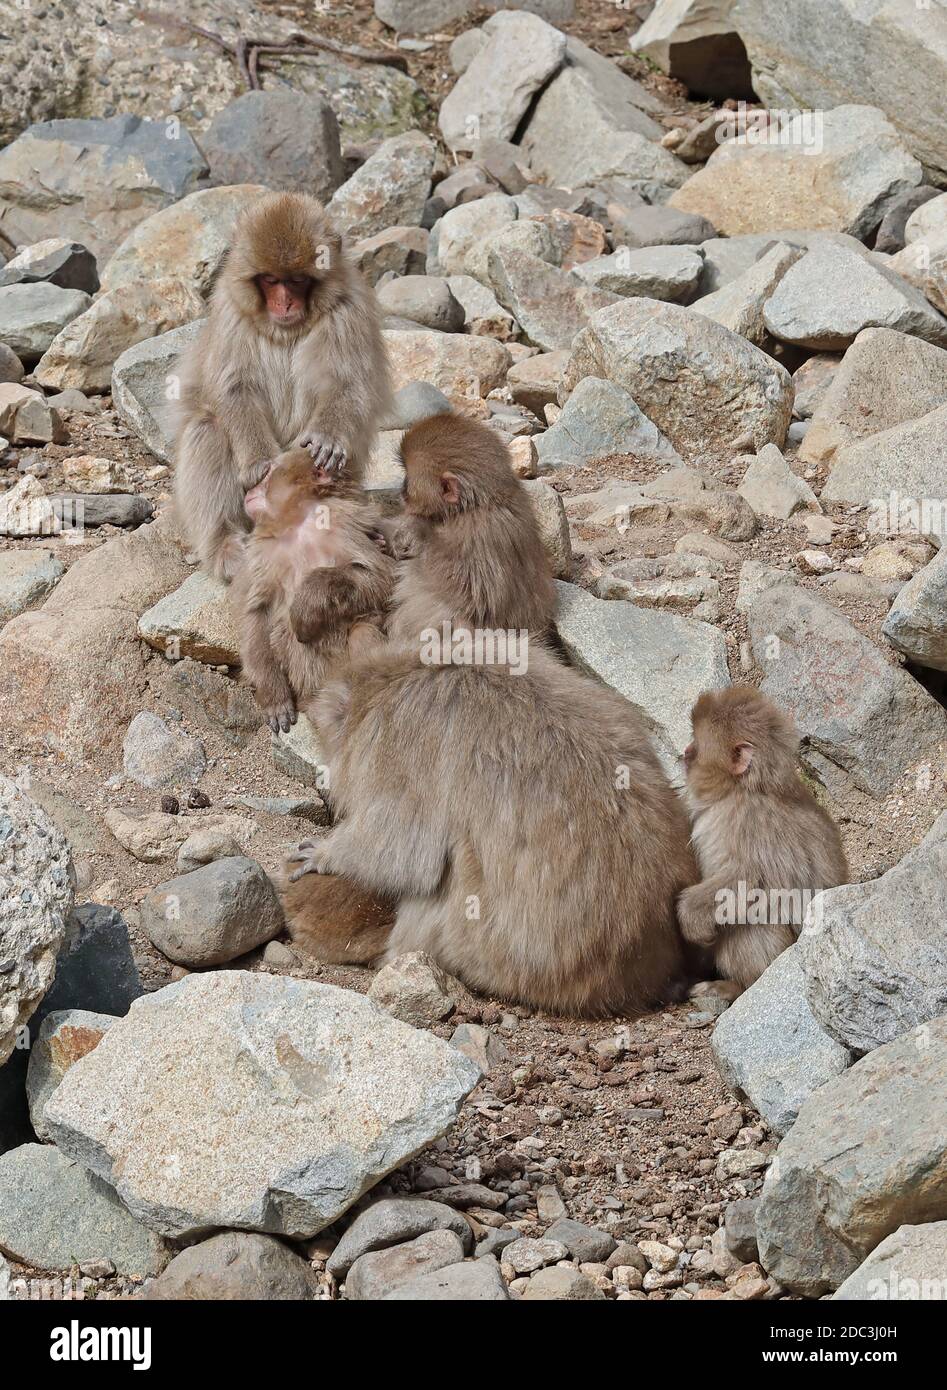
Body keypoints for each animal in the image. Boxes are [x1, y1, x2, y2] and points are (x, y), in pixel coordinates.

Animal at [174, 192, 392, 582]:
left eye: (298, 281)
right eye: (271, 280)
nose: (285, 302)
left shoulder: (349, 309)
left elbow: (347, 383)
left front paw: (326, 439)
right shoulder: (229, 309)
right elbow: (235, 388)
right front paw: (260, 462)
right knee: (207, 426)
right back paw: (226, 544)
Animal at [677, 686, 849, 1000]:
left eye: (697, 742)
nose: (685, 750)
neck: (744, 789)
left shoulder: (751, 822)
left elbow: (753, 880)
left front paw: (690, 920)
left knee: (752, 917)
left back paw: (737, 985)